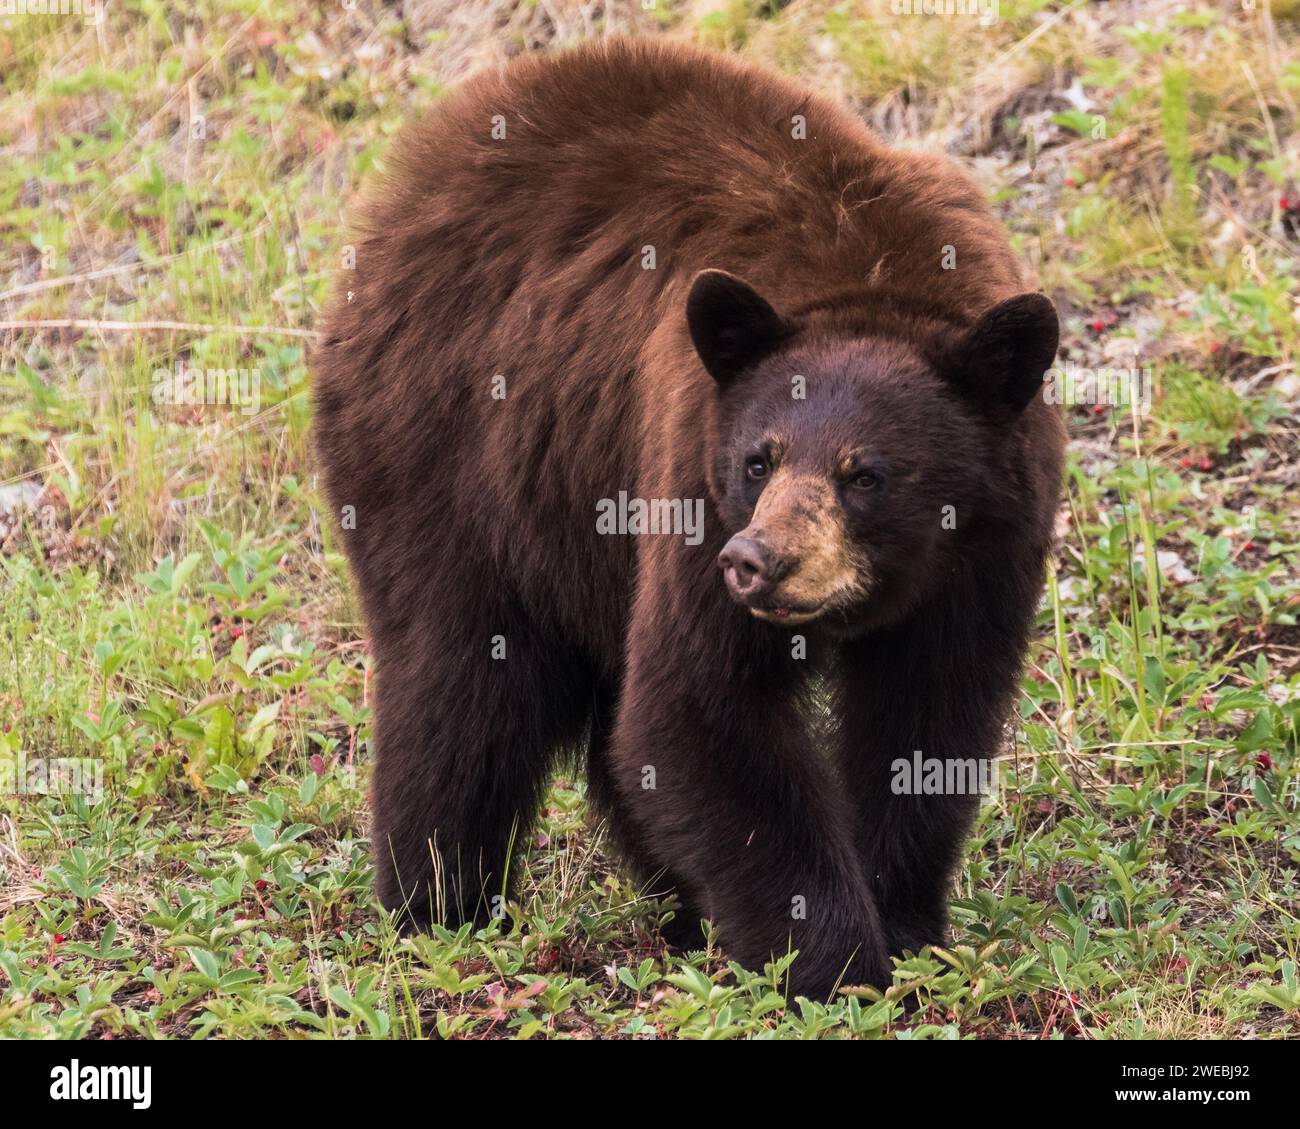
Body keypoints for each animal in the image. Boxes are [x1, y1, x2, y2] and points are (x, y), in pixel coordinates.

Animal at [312, 38, 1065, 998]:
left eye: (866, 473)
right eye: (758, 459)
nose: (759, 560)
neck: (869, 282)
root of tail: (403, 185)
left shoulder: (986, 550)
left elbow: (929, 720)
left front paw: (905, 925)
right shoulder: (687, 474)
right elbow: (700, 706)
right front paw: (837, 964)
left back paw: (679, 907)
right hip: (454, 457)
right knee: (461, 682)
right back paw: (441, 905)